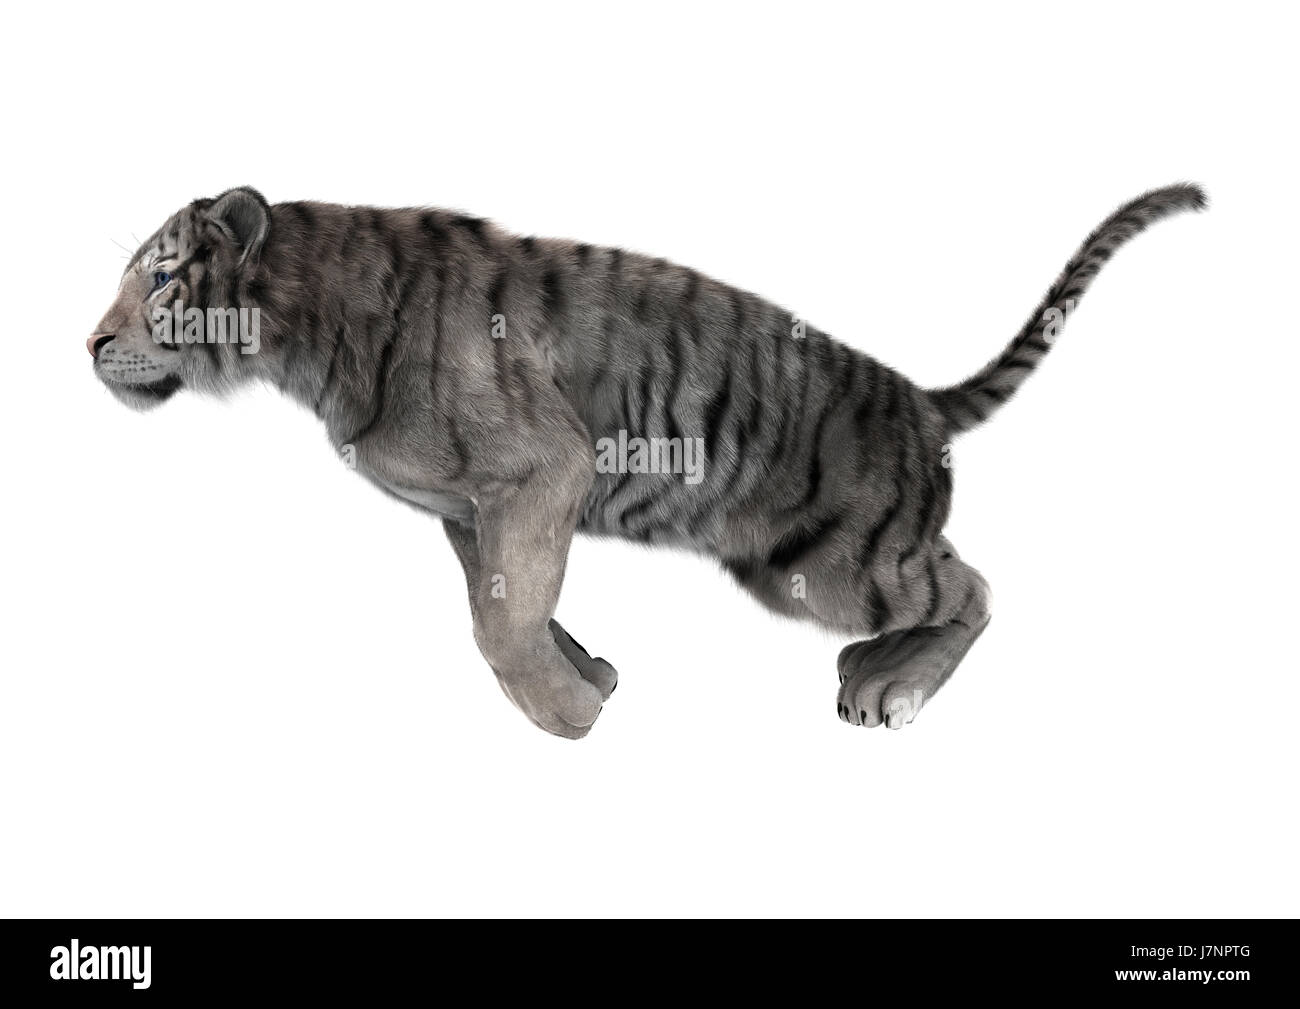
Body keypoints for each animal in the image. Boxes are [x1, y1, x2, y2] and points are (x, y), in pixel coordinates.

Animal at [90, 184, 1206, 738]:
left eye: (162, 278)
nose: (90, 343)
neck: (303, 340)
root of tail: (916, 397)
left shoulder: (544, 467)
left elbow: (501, 620)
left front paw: (566, 713)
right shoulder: (468, 507)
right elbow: (506, 601)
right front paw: (583, 673)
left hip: (836, 566)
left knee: (974, 588)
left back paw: (893, 688)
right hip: (788, 571)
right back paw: (875, 666)